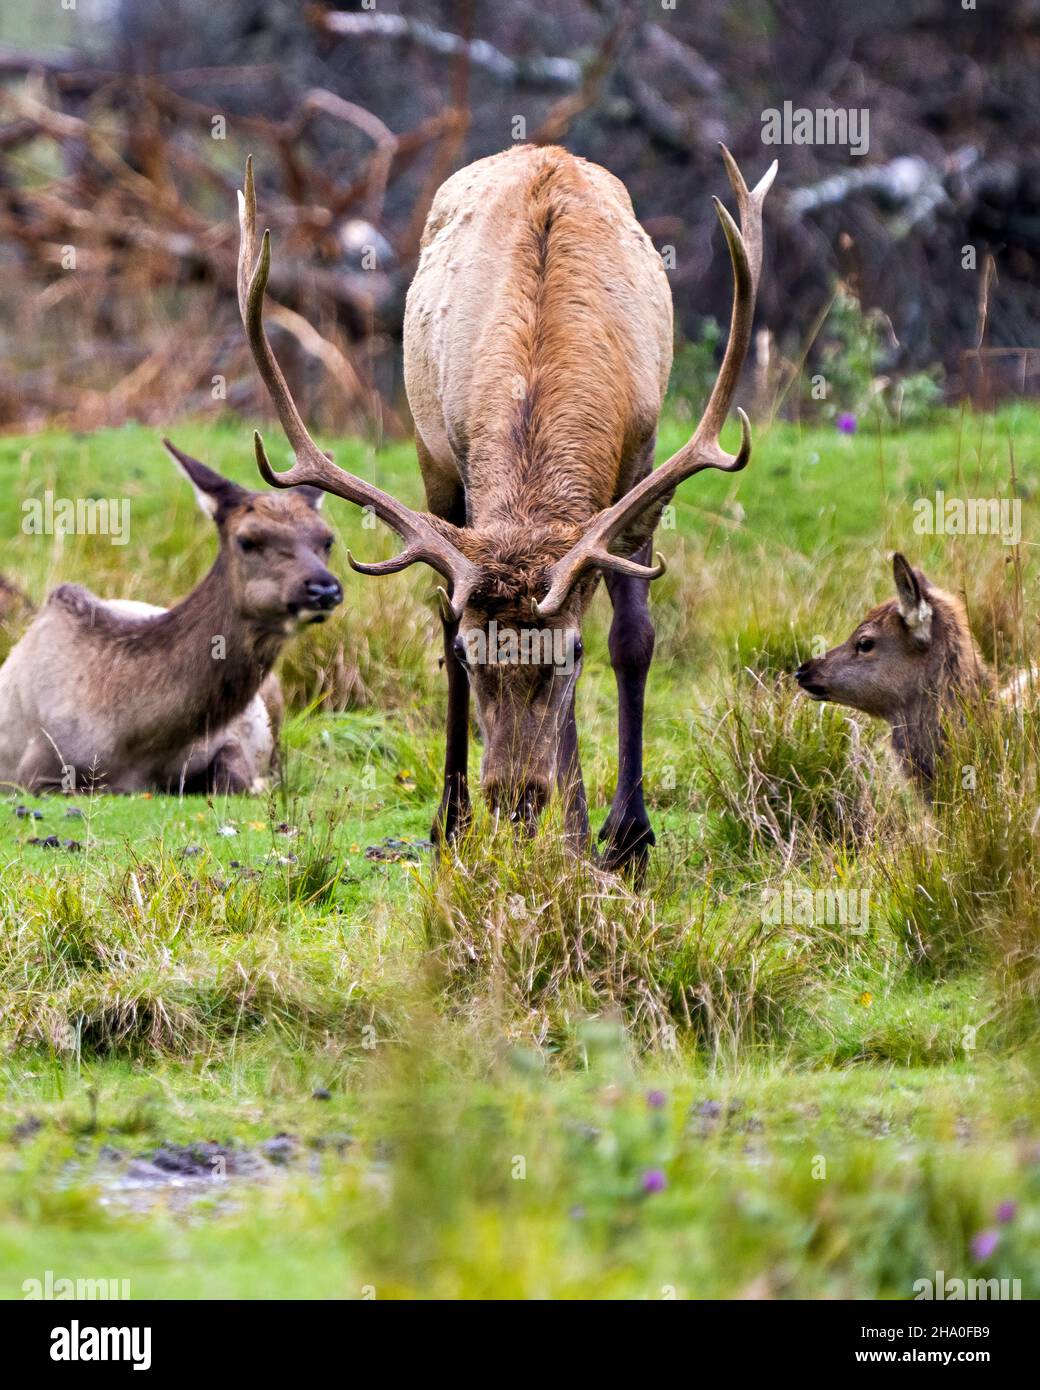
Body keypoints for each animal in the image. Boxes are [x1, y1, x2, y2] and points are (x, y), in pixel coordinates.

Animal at [0, 442, 341, 794]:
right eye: (248, 540)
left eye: (327, 539)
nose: (324, 589)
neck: (130, 742)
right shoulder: (34, 769)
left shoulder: (227, 741)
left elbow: (234, 777)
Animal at [237, 144, 775, 870]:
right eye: (475, 657)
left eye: (570, 655)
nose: (515, 800)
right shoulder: (457, 459)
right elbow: (457, 628)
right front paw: (576, 838)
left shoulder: (641, 461)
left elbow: (633, 637)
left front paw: (628, 836)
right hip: (432, 457)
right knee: (439, 611)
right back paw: (451, 820)